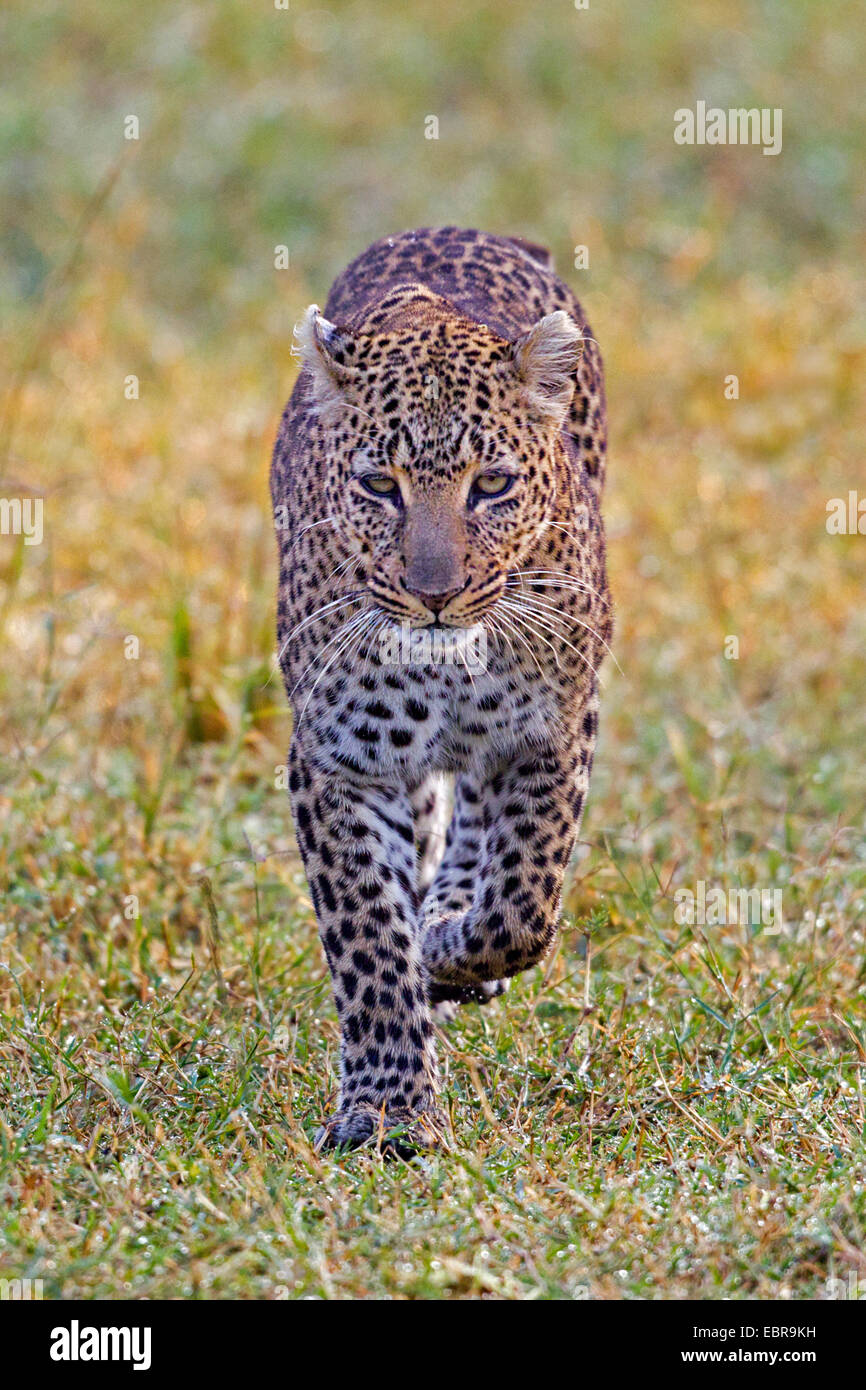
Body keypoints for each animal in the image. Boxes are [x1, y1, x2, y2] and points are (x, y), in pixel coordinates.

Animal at [268, 227, 614, 1156]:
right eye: (378, 486)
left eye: (489, 485)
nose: (435, 593)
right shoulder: (341, 763)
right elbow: (367, 939)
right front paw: (387, 1106)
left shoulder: (552, 730)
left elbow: (524, 900)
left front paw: (455, 954)